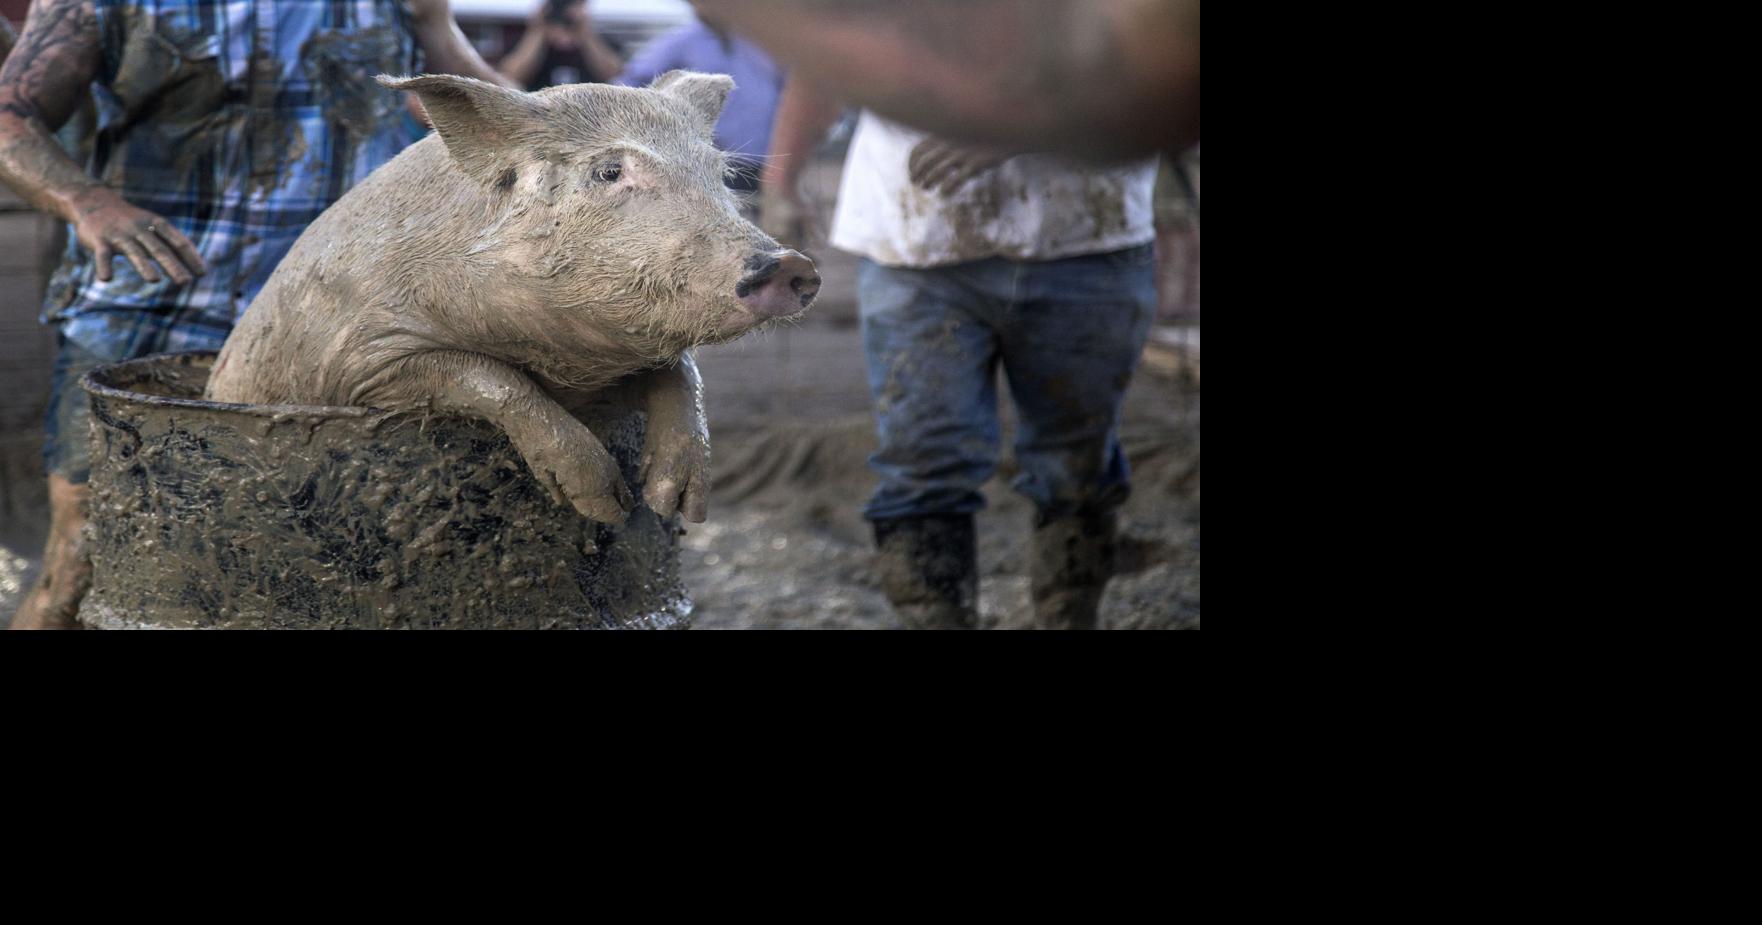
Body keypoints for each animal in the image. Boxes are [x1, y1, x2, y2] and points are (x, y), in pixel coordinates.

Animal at [205, 72, 820, 524]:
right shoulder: (362, 359)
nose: (790, 263)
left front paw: (670, 505)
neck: (565, 357)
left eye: (720, 173)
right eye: (609, 170)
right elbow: (490, 377)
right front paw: (606, 507)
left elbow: (679, 372)